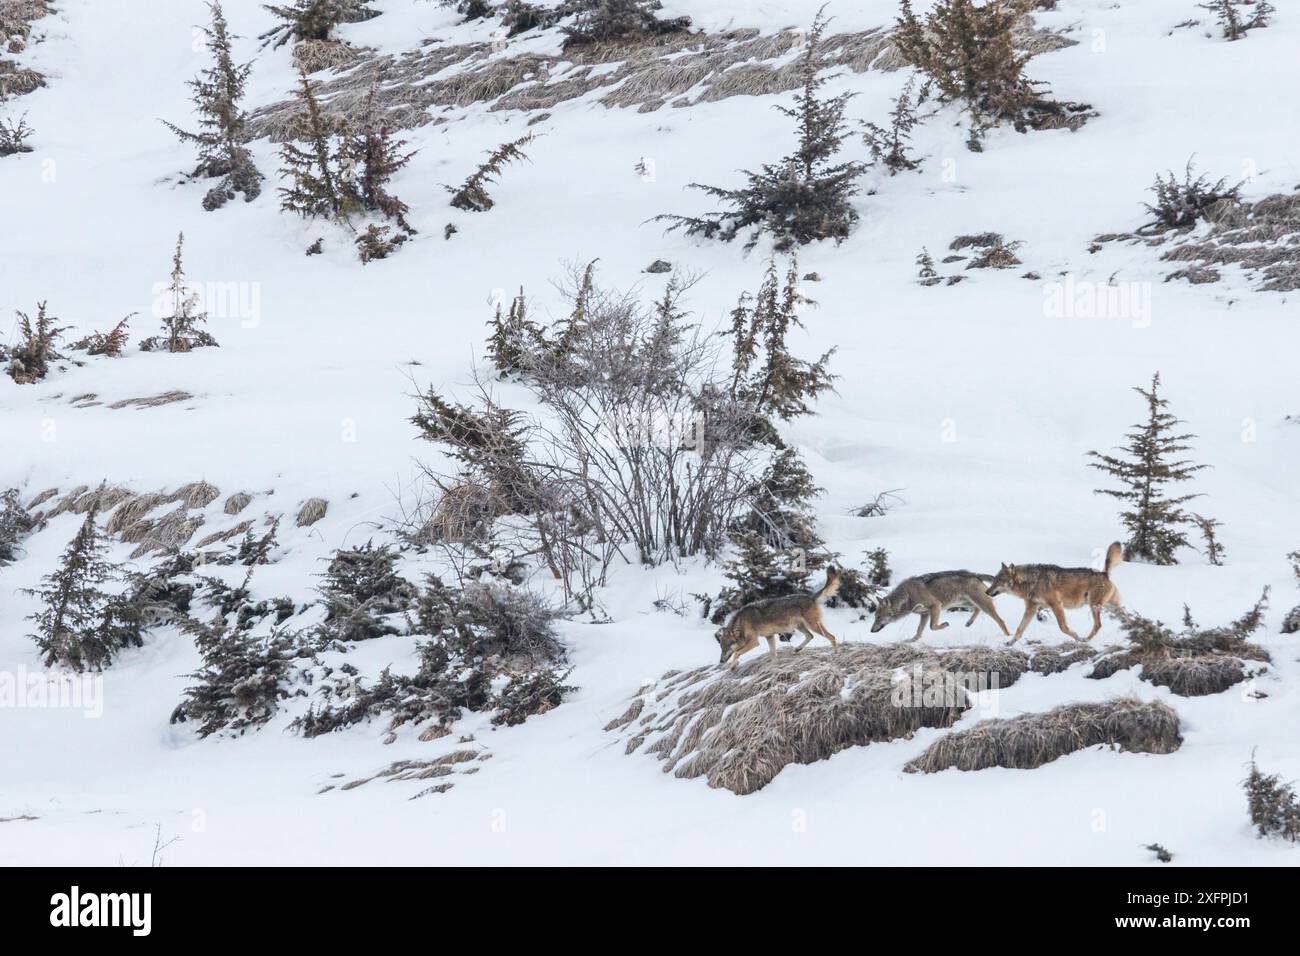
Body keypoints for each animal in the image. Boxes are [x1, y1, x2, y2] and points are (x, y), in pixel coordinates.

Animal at [869, 571, 1010, 641]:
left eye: (878, 617)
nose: (870, 631)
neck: (907, 597)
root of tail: (975, 574)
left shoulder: (935, 606)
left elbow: (932, 626)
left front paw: (945, 624)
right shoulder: (925, 614)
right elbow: (919, 629)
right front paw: (913, 640)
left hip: (979, 603)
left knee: (1000, 620)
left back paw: (1008, 637)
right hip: (965, 603)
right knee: (977, 609)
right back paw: (969, 623)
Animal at [985, 542, 1123, 643]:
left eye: (999, 581)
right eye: (994, 580)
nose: (986, 592)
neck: (1033, 582)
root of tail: (1104, 573)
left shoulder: (1056, 605)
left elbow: (1063, 628)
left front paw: (1077, 637)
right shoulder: (1031, 608)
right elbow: (1020, 628)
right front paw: (1010, 643)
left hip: (1094, 606)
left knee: (1098, 625)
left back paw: (1085, 639)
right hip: (1110, 607)